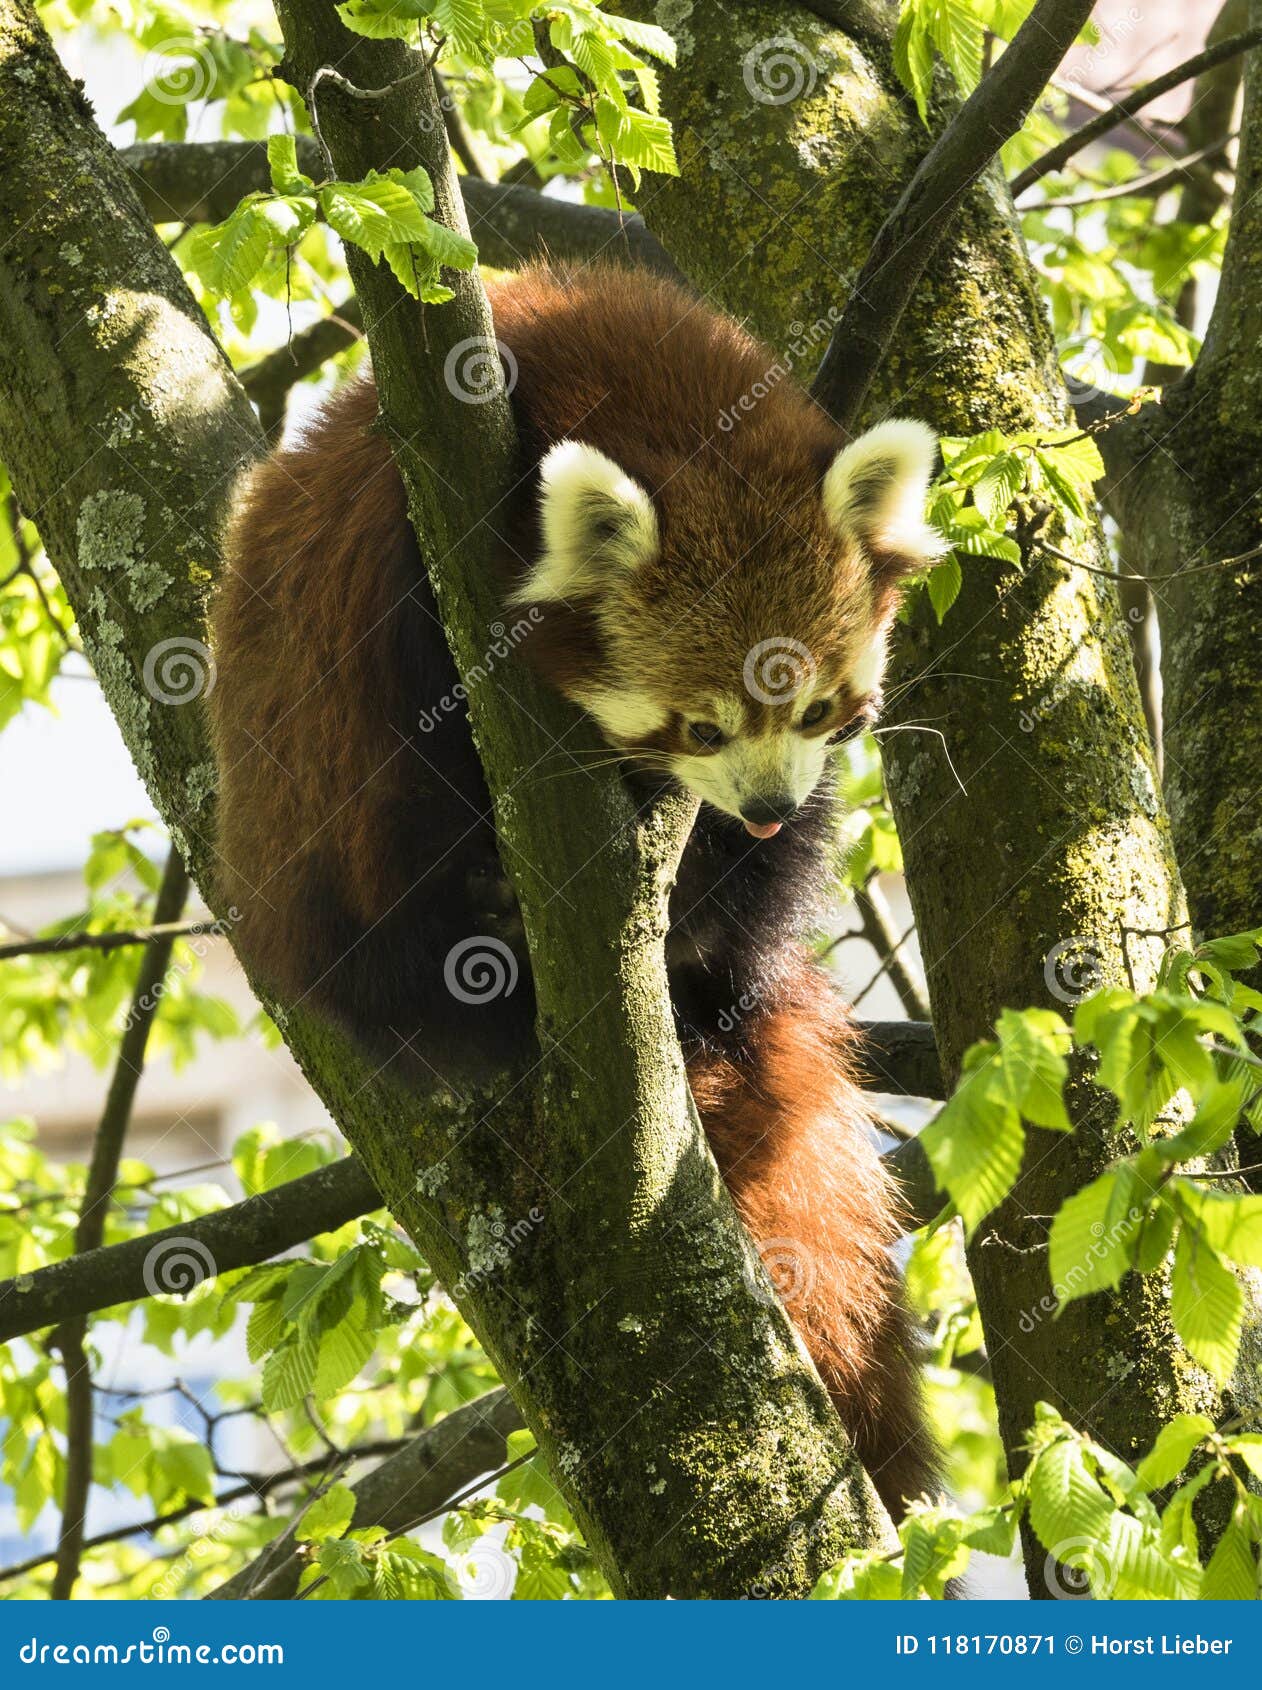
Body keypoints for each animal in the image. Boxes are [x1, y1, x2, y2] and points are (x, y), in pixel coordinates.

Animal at [210, 263, 946, 1517]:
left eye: (814, 707)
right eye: (697, 724)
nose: (758, 803)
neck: (617, 370)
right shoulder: (417, 541)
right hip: (309, 832)